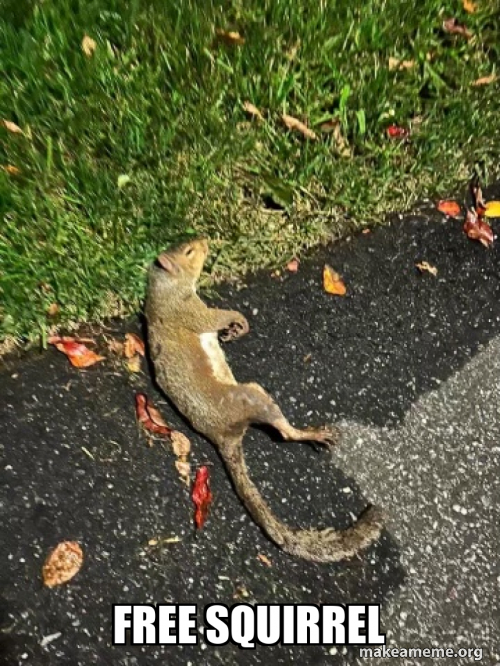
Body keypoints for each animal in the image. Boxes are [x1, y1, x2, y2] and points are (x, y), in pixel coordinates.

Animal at [145, 238, 384, 562]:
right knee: (284, 432)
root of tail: (223, 437)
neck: (163, 290)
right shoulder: (189, 311)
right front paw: (238, 322)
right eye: (189, 252)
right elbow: (216, 316)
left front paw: (233, 331)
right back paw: (311, 433)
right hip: (253, 395)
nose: (205, 241)